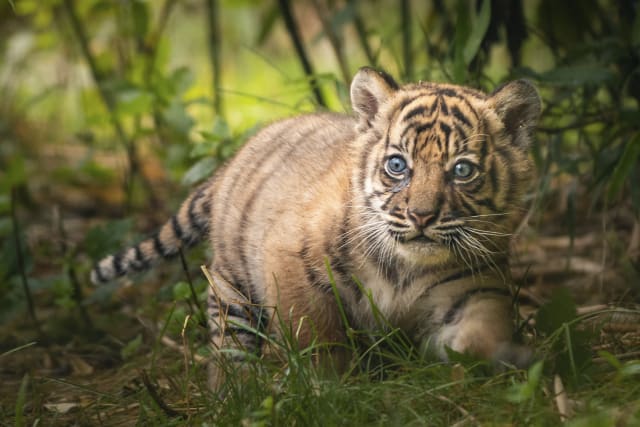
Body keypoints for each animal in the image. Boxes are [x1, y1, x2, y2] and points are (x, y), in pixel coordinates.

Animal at [91, 67, 541, 388]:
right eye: (398, 165)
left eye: (462, 170)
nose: (421, 216)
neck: (405, 267)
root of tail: (230, 164)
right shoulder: (288, 265)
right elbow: (317, 338)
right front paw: (331, 391)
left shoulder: (474, 287)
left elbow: (482, 333)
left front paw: (508, 361)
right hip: (232, 285)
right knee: (230, 348)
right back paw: (235, 395)